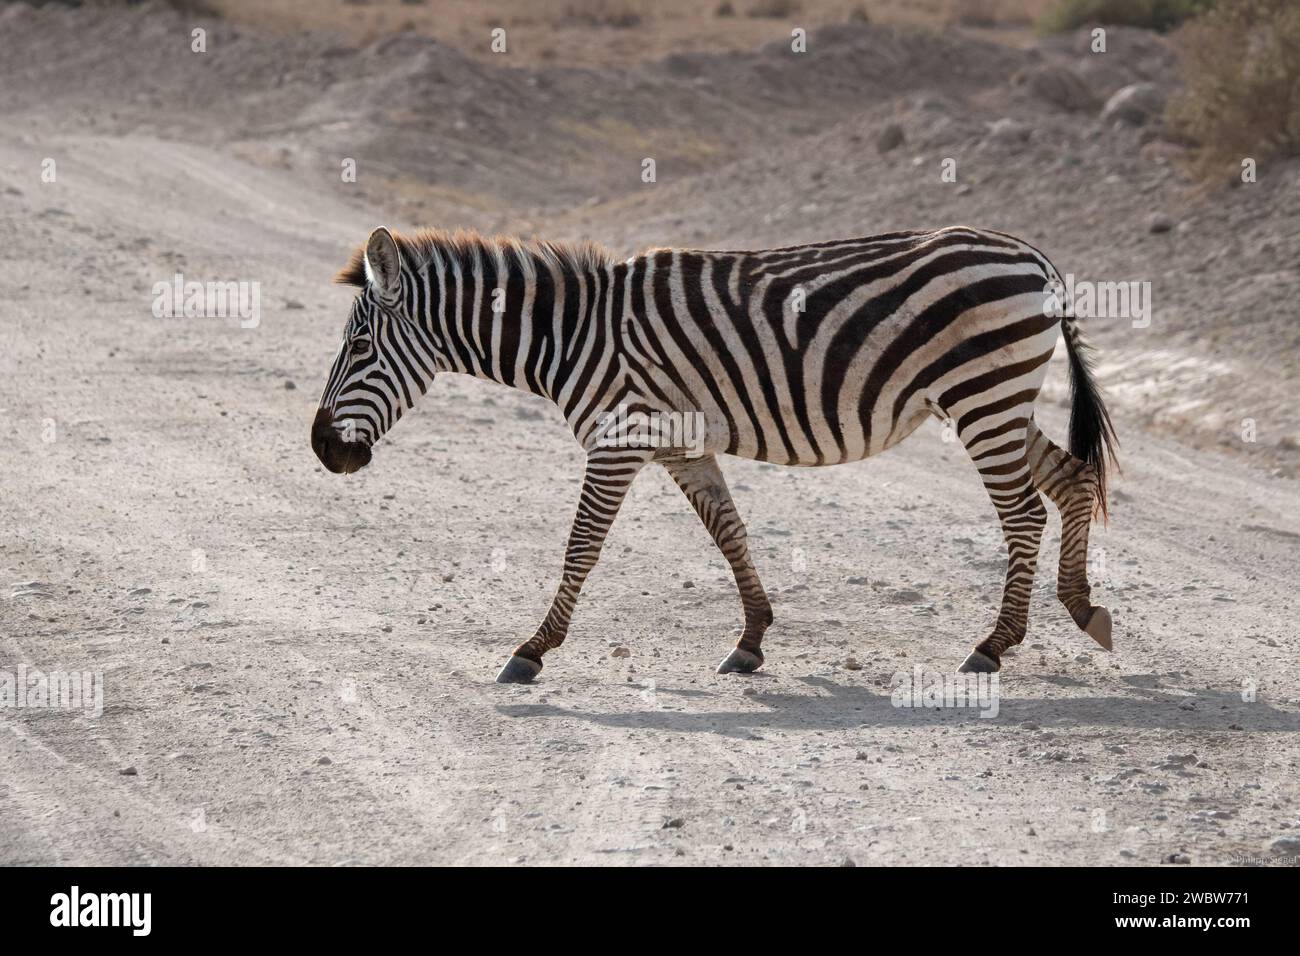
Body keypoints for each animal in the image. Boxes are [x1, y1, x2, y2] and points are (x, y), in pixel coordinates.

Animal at [312, 225, 1118, 683]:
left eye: (359, 346)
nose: (322, 451)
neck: (571, 335)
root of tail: (1033, 256)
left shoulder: (618, 440)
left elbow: (581, 546)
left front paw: (532, 649)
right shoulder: (679, 443)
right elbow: (729, 531)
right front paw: (752, 640)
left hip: (982, 395)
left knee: (1024, 515)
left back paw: (994, 645)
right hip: (994, 400)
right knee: (1073, 481)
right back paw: (1082, 610)